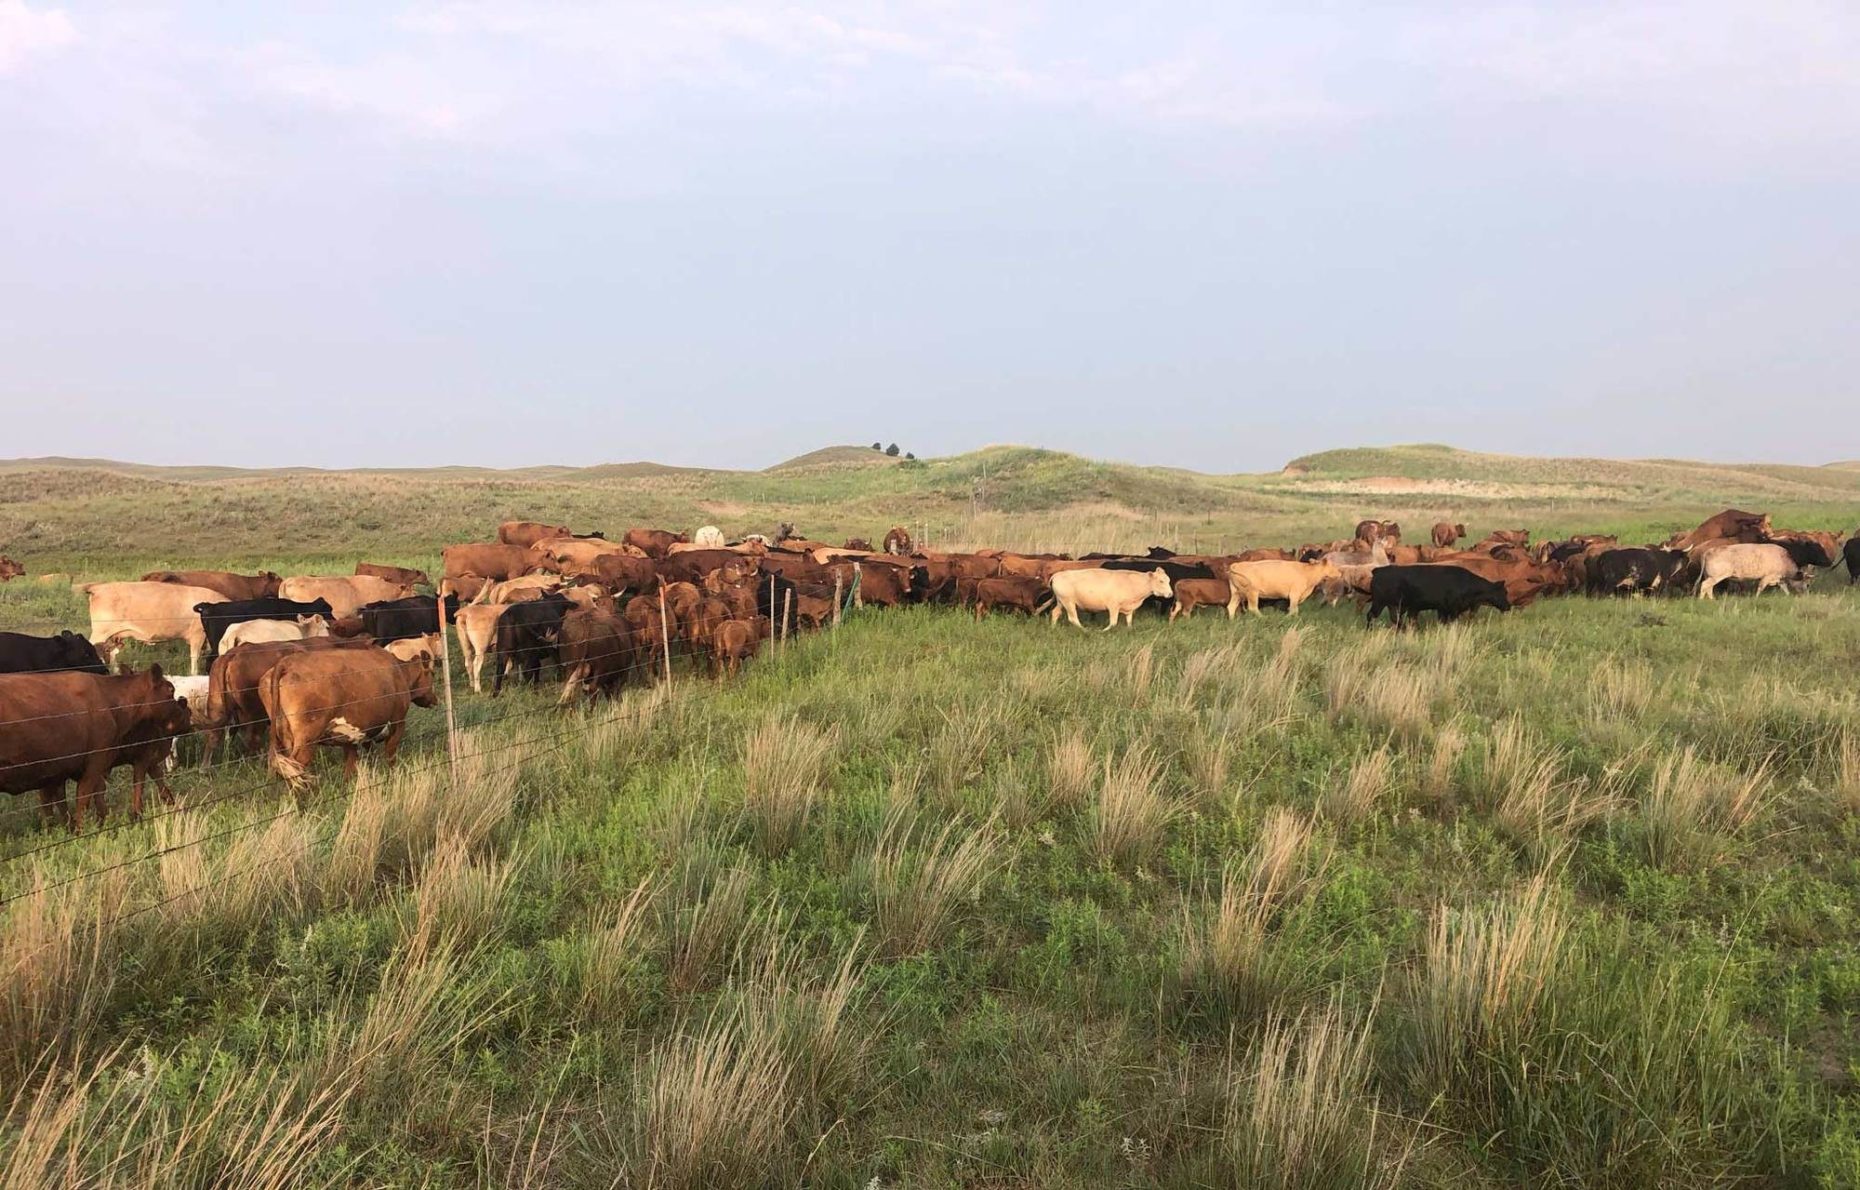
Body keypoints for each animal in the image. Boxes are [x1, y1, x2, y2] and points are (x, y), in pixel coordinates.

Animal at [261, 649, 436, 790]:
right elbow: (390, 755)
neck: (400, 672)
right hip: (307, 739)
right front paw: (393, 777)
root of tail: (287, 662)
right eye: (432, 674)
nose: (435, 699)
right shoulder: (397, 723)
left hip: (285, 736)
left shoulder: (352, 736)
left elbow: (352, 765)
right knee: (296, 768)